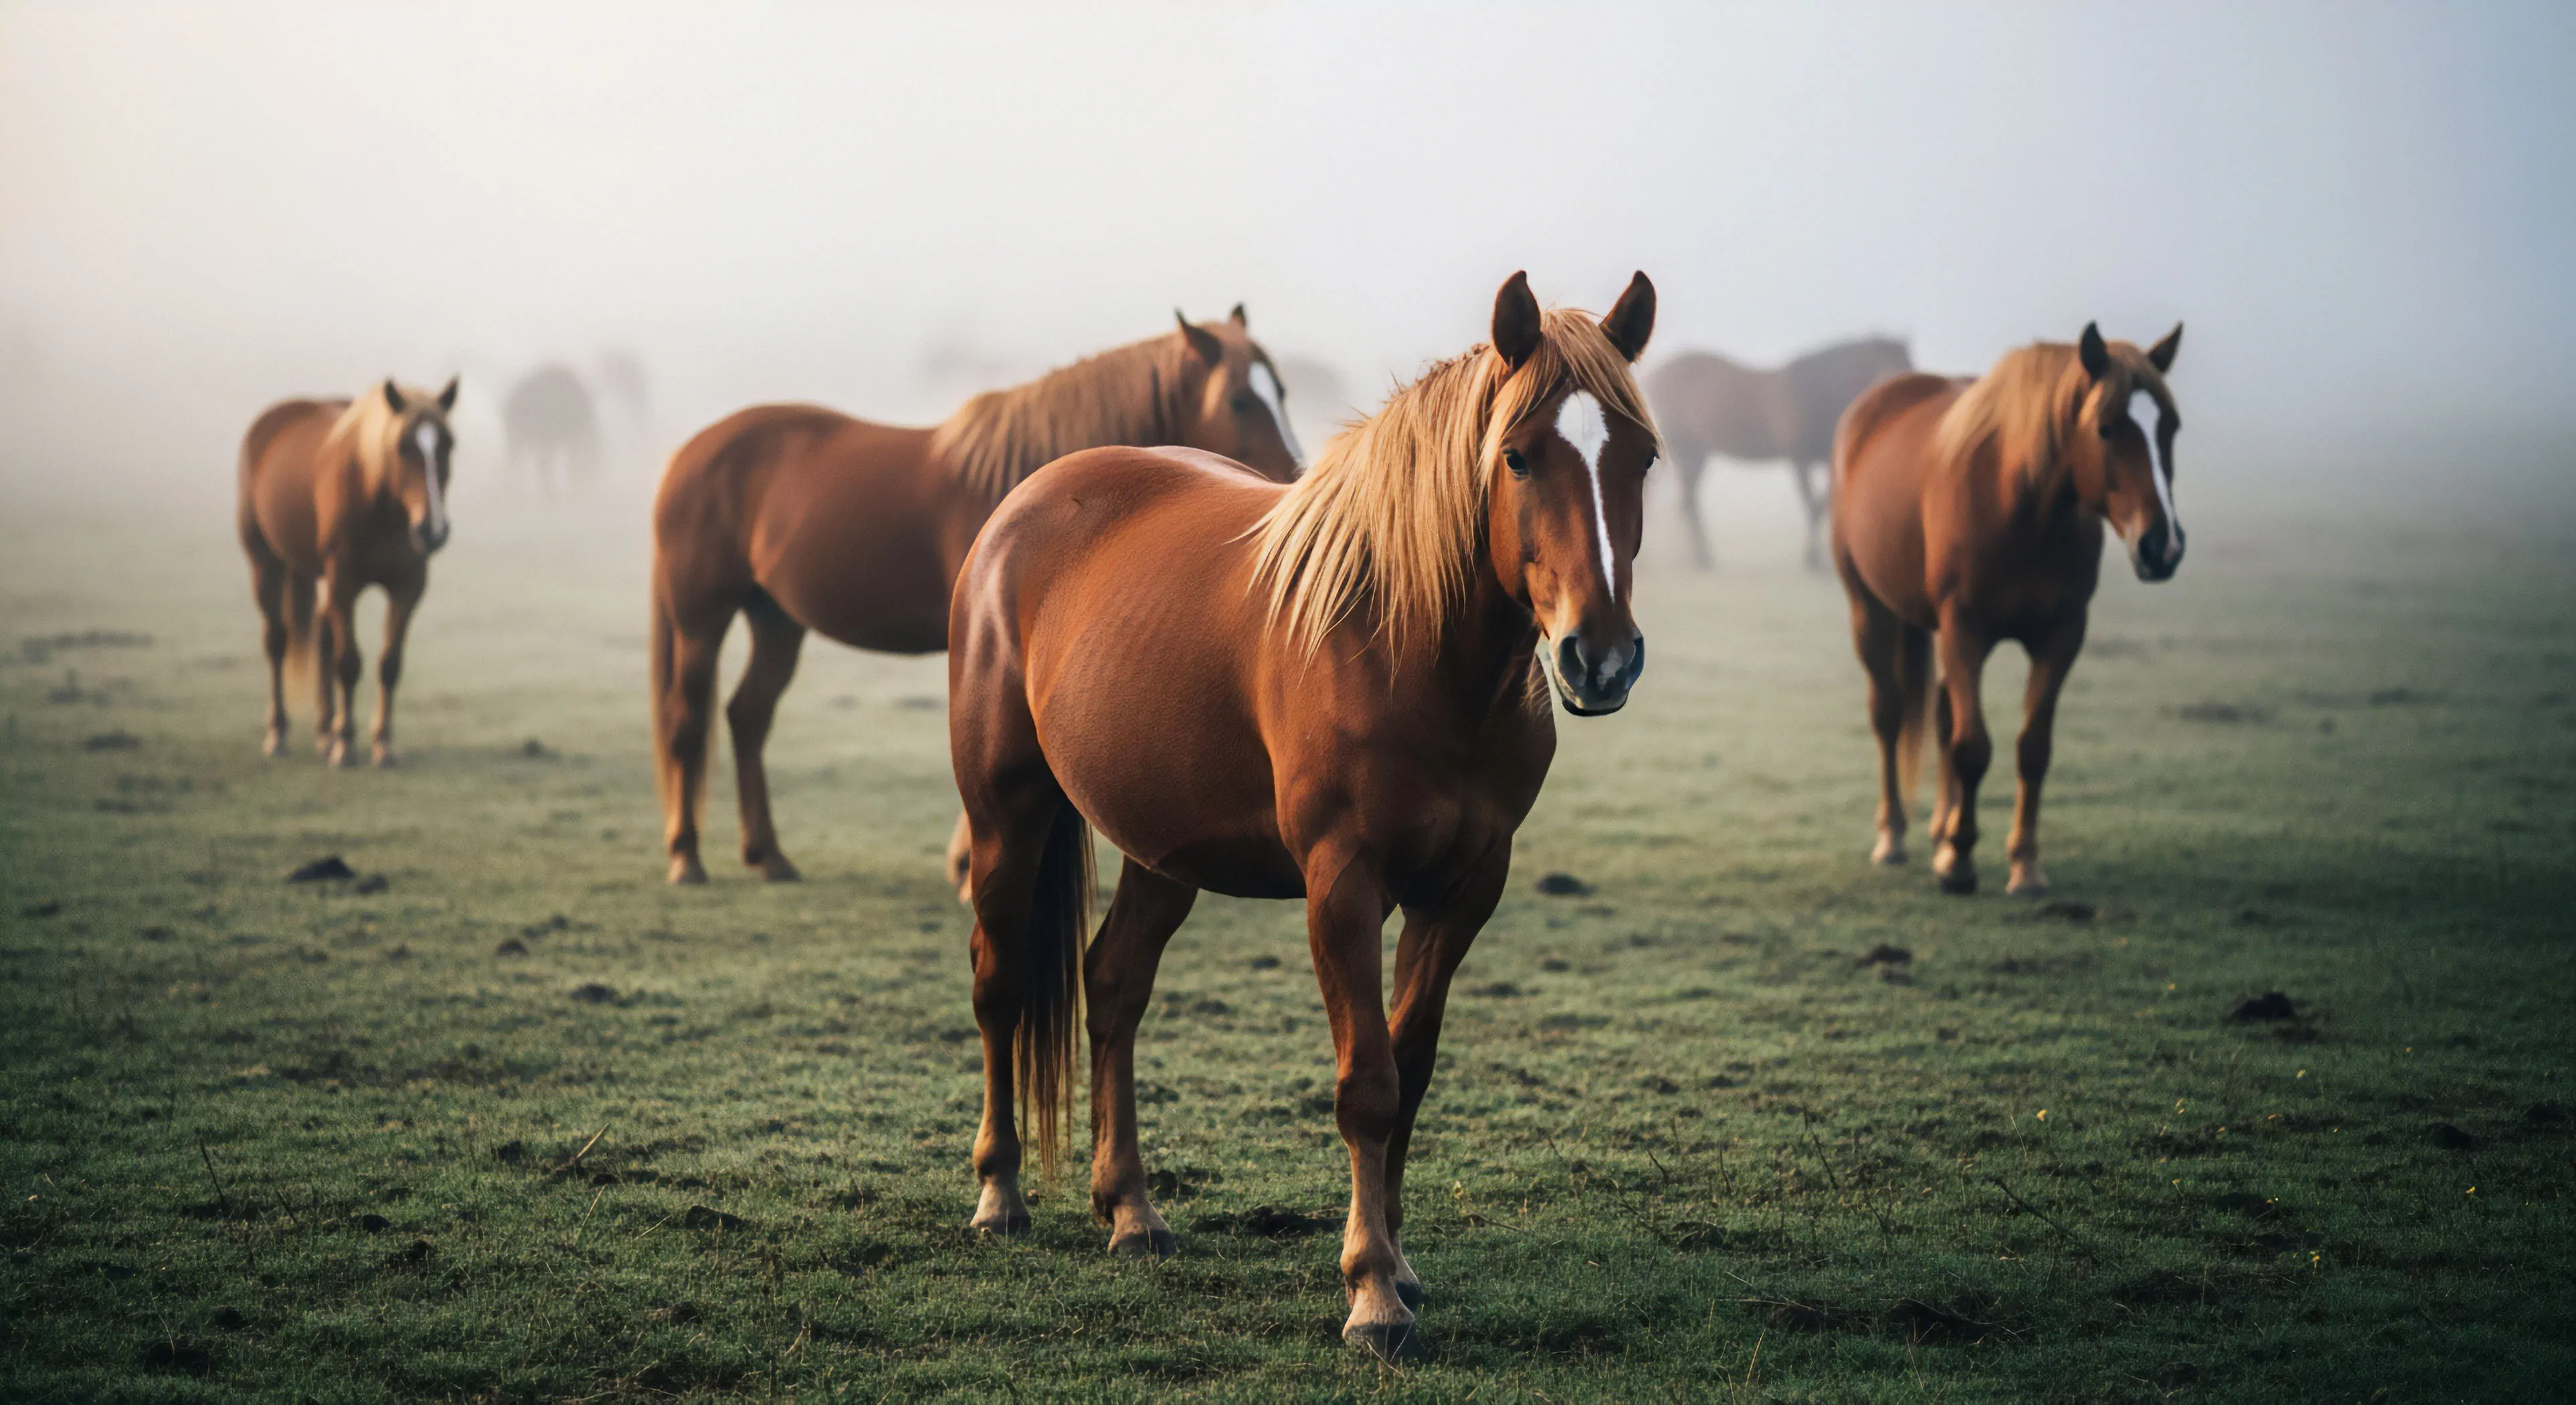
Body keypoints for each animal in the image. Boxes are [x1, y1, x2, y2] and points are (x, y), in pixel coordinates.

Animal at [237, 376, 459, 767]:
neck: (383, 510)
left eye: (449, 445)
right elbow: (349, 663)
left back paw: (325, 731)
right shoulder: (344, 581)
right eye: (403, 447)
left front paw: (382, 743)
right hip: (266, 564)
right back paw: (279, 733)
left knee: (324, 633)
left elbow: (390, 664)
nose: (433, 530)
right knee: (277, 641)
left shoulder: (409, 586)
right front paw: (346, 745)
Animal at [651, 308, 1304, 888]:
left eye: (1283, 392)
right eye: (1240, 401)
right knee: (687, 719)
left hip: (777, 618)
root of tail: (689, 451)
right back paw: (686, 858)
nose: (1293, 480)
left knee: (748, 716)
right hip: (701, 617)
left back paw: (768, 856)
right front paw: (970, 865)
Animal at [948, 272, 1659, 1361]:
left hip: (1164, 848)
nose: (1601, 658)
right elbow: (1366, 1083)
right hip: (1004, 816)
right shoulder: (1342, 885)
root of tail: (1020, 509)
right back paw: (999, 1197)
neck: (1408, 645)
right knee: (999, 983)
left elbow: (1410, 1073)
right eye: (1517, 455)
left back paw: (1132, 1210)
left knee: (1112, 986)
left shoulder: (1465, 890)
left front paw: (1400, 1268)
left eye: (1644, 457)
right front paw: (1370, 1297)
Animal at [1645, 336, 1913, 568]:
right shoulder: (1800, 460)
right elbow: (1813, 505)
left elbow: (1825, 504)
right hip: (1686, 452)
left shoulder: (1826, 461)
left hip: (1696, 454)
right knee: (1682, 501)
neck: (1818, 392)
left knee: (1686, 502)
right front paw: (1813, 560)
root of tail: (1656, 373)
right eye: (1897, 368)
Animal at [1831, 322, 2184, 896]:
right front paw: (1961, 863)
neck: (2020, 506)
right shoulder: (1964, 630)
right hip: (1871, 609)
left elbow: (2032, 749)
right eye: (2106, 429)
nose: (2162, 546)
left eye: (2171, 427)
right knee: (1888, 714)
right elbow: (1972, 747)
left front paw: (2024, 864)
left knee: (1941, 710)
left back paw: (1940, 832)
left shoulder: (2063, 635)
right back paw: (1894, 837)